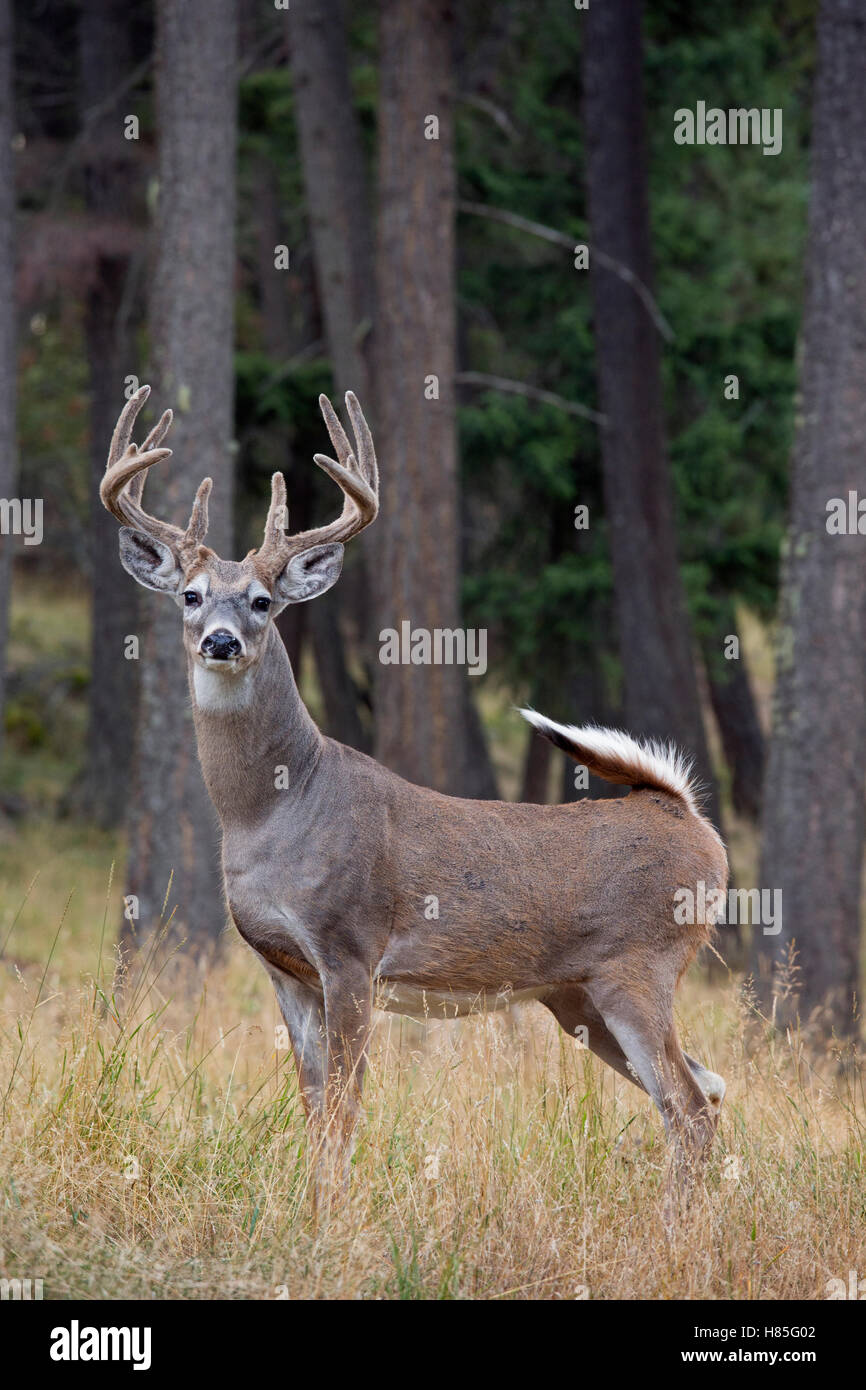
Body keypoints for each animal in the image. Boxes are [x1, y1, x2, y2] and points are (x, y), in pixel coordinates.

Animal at [101, 384, 728, 1196]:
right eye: (189, 595)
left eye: (264, 601)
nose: (221, 640)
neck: (273, 809)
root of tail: (688, 818)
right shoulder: (284, 969)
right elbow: (314, 1110)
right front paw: (314, 1205)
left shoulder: (350, 948)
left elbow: (344, 1111)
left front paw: (331, 1211)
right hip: (577, 996)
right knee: (705, 1093)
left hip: (641, 968)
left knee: (691, 1106)